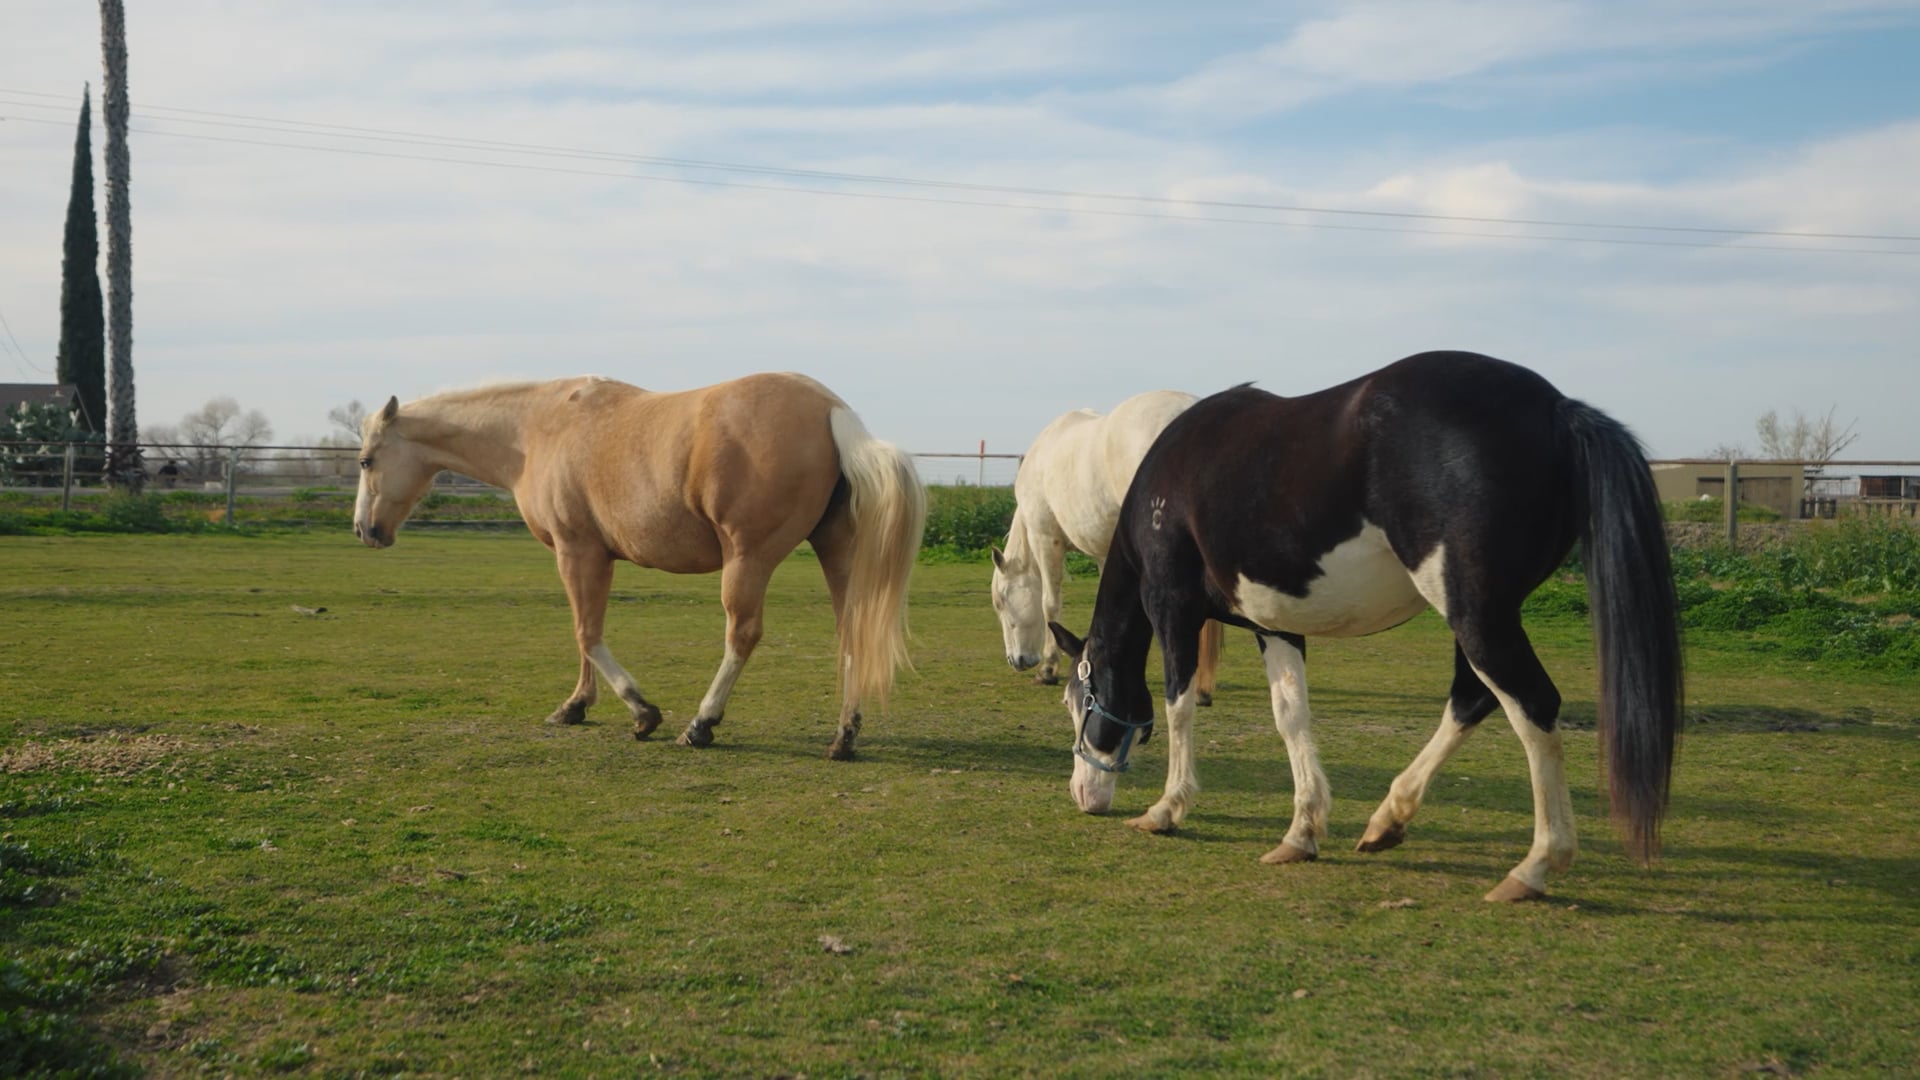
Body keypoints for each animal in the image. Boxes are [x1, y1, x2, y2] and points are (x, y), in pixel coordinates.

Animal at [352, 372, 926, 760]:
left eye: (365, 460)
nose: (364, 530)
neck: (537, 429)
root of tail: (833, 411)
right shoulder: (590, 557)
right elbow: (584, 631)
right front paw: (575, 706)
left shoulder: (576, 551)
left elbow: (586, 633)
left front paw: (641, 712)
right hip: (836, 553)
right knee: (852, 633)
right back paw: (844, 735)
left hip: (747, 560)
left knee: (742, 635)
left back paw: (701, 724)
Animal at [990, 391, 1224, 697]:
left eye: (1000, 601)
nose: (1016, 661)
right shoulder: (1105, 552)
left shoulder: (1045, 539)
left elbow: (1050, 604)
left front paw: (1048, 670)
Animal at [1047, 351, 1682, 902]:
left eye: (1079, 699)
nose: (1081, 793)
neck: (1168, 481)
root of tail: (1556, 408)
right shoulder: (1273, 624)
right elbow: (1291, 716)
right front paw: (1301, 832)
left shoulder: (1173, 609)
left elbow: (1179, 706)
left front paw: (1166, 808)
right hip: (1483, 615)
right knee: (1473, 697)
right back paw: (1387, 820)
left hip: (1475, 612)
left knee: (1531, 706)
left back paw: (1535, 866)